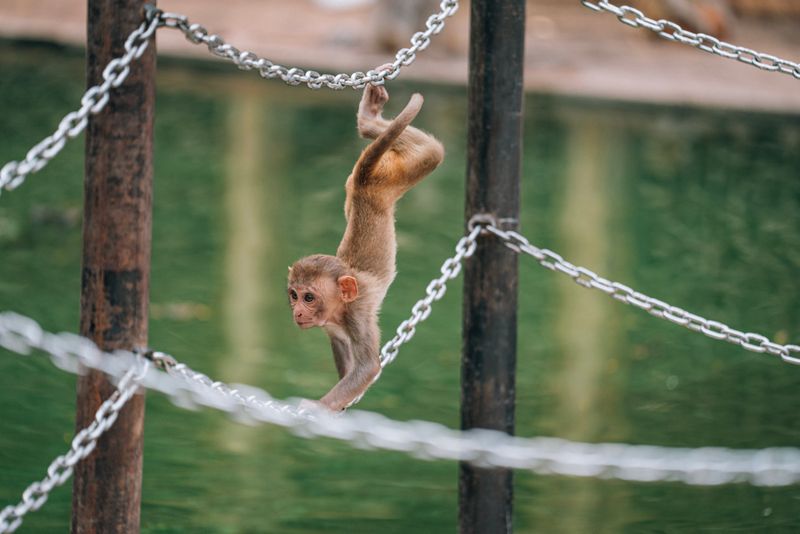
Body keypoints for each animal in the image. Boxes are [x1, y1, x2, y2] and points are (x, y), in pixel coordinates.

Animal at [287, 75, 444, 412]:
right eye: (294, 295)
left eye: (309, 297)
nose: (297, 311)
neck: (339, 309)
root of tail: (364, 180)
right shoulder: (333, 327)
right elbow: (343, 352)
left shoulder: (357, 315)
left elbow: (368, 366)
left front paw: (318, 406)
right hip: (358, 184)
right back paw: (370, 122)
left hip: (400, 173)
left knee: (432, 152)